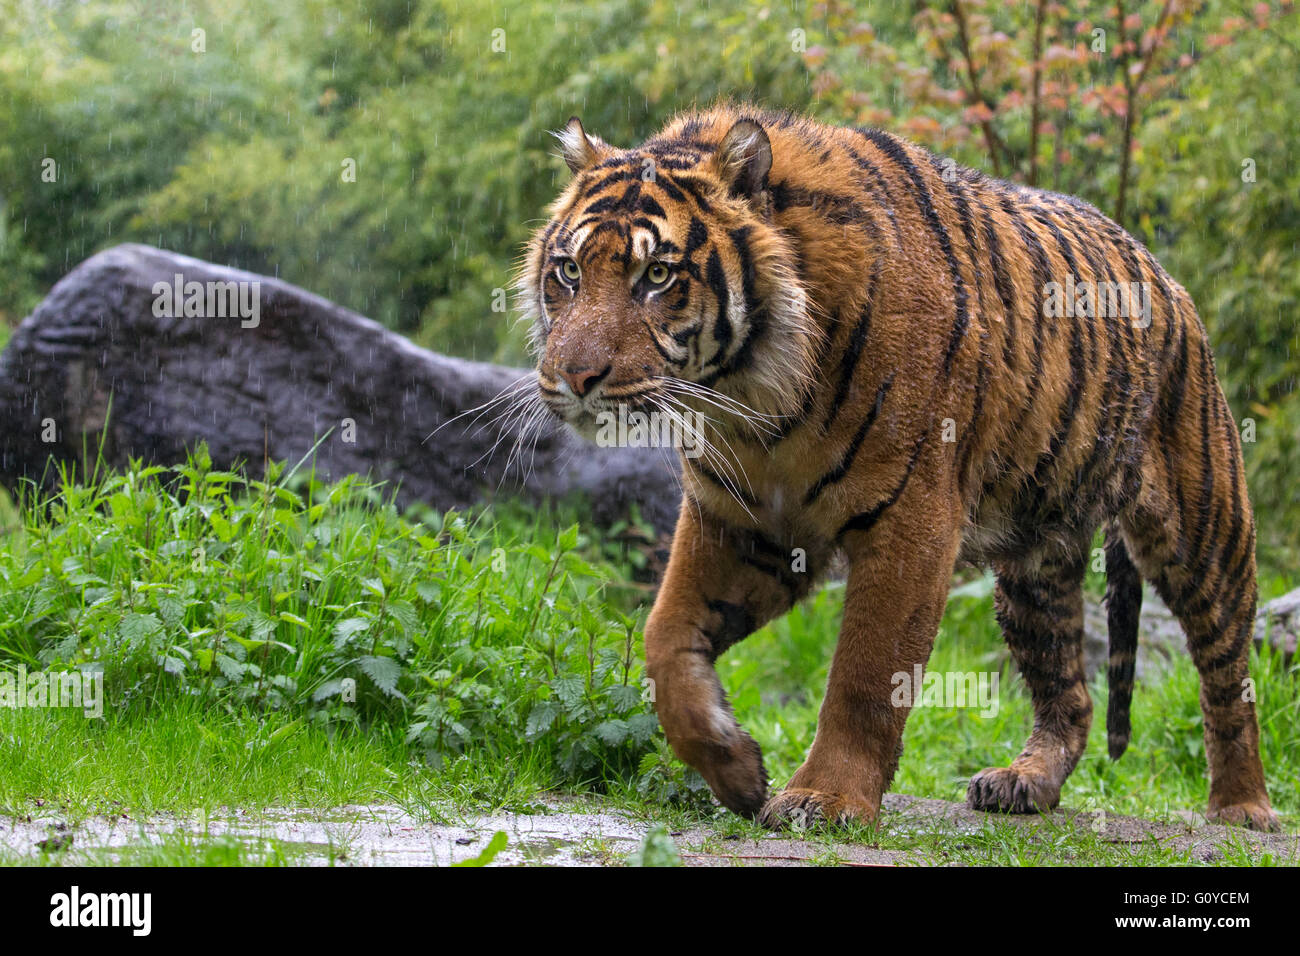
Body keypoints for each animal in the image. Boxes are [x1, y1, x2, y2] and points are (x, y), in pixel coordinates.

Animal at [515, 103, 1279, 831]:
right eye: (569, 272)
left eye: (657, 276)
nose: (573, 377)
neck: (754, 399)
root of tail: (1167, 278)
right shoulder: (744, 521)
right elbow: (664, 640)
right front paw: (736, 771)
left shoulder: (912, 520)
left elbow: (866, 672)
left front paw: (825, 799)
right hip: (1034, 566)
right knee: (1071, 689)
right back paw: (1024, 782)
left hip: (1204, 533)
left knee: (1228, 676)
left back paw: (1243, 807)